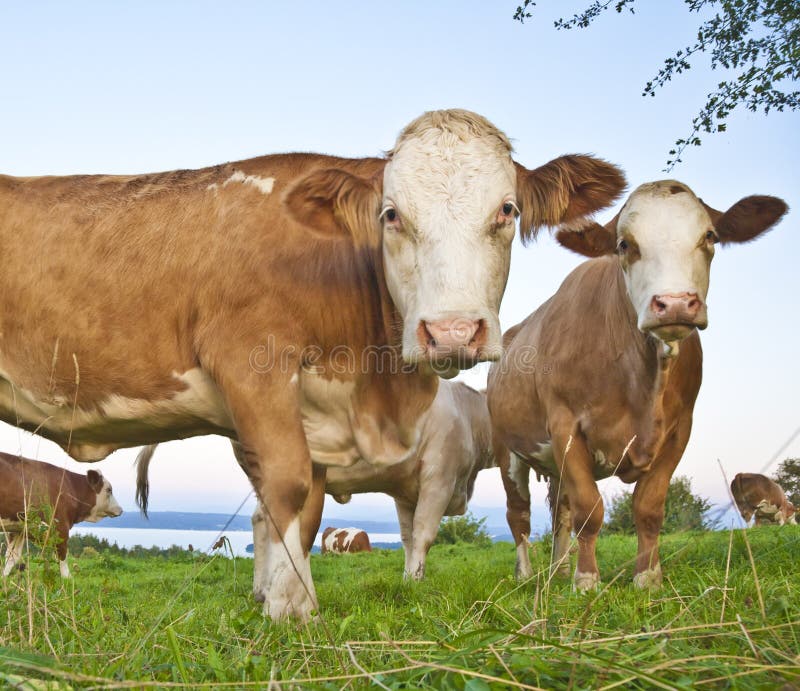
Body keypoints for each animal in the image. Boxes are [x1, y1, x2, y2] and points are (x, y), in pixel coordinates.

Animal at [0, 109, 625, 619]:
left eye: (507, 210)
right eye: (391, 215)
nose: (451, 332)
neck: (370, 388)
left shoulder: (314, 411)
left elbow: (309, 511)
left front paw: (291, 599)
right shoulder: (252, 365)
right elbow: (290, 487)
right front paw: (289, 608)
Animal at [487, 181, 788, 591]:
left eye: (710, 236)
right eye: (624, 244)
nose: (675, 303)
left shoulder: (679, 431)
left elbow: (647, 508)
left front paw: (647, 578)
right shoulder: (566, 426)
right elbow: (589, 510)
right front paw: (586, 581)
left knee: (560, 511)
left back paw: (559, 569)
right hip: (509, 450)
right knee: (519, 515)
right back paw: (526, 574)